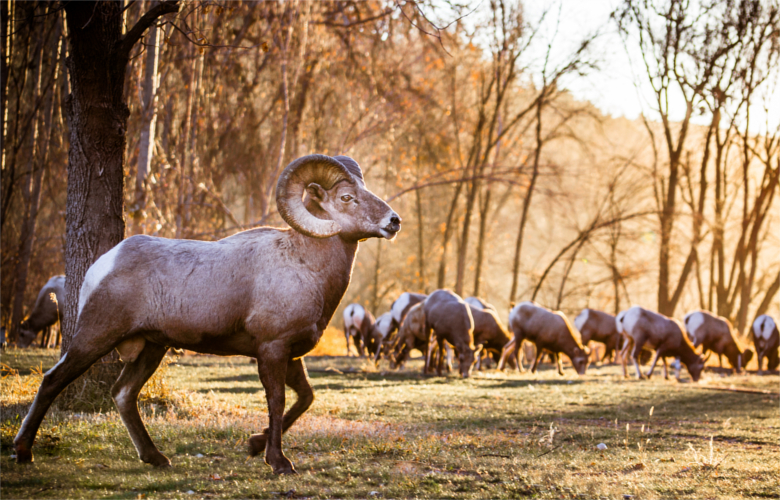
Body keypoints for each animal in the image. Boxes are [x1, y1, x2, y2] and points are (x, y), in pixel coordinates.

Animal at [13, 154, 401, 475]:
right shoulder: (272, 350)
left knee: (123, 394)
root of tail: (104, 264)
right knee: (52, 380)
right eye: (346, 198)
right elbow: (277, 401)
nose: (393, 221)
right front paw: (279, 462)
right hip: (95, 337)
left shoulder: (291, 355)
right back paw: (23, 452)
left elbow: (305, 399)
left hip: (151, 348)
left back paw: (156, 458)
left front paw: (254, 445)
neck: (305, 264)